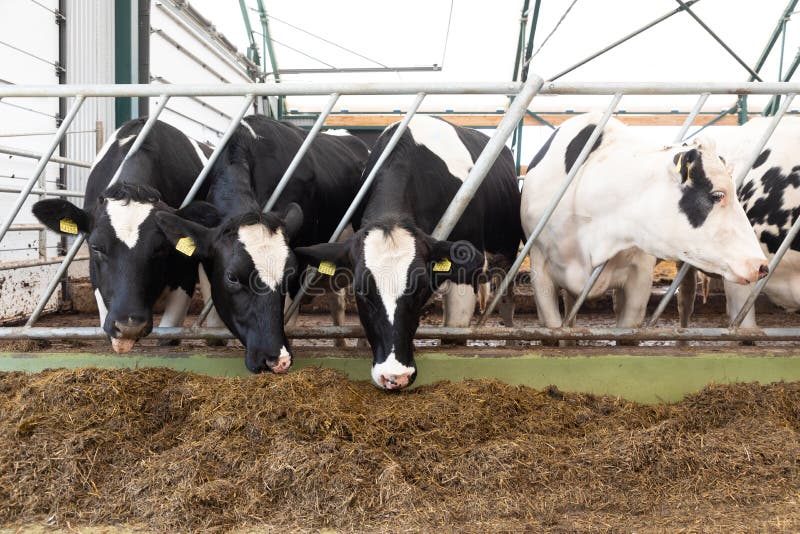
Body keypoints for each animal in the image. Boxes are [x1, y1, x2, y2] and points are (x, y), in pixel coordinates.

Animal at [292, 115, 522, 390]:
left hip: (507, 255)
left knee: (507, 303)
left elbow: (454, 332)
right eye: (361, 292)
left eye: (420, 288)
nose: (395, 376)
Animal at [521, 112, 769, 338]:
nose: (761, 265)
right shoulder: (540, 269)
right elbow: (555, 327)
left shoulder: (639, 276)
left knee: (685, 302)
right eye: (718, 195)